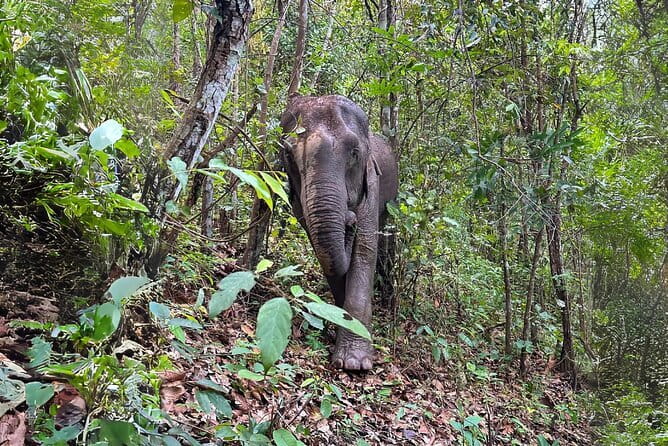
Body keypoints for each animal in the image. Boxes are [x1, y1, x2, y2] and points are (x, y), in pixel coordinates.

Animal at [279, 95, 398, 371]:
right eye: (288, 154)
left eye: (354, 153)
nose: (349, 219)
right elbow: (322, 249)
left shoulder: (372, 185)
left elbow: (364, 250)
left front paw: (354, 363)